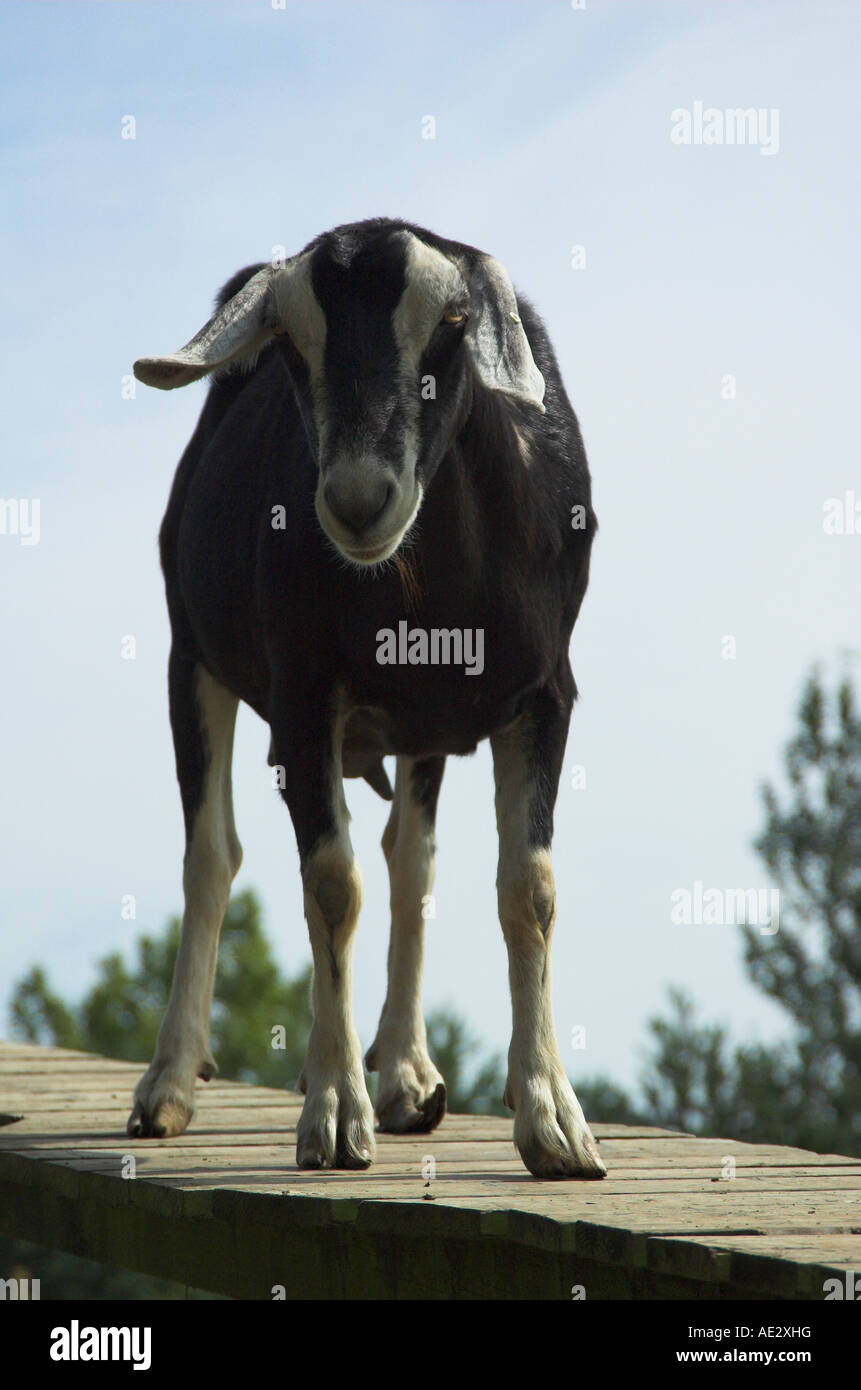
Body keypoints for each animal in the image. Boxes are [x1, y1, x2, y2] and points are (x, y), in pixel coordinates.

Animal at [129, 217, 605, 1179]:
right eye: (290, 343)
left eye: (453, 324)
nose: (356, 501)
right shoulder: (305, 700)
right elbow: (330, 885)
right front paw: (335, 1113)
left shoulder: (545, 694)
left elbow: (525, 887)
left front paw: (553, 1120)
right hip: (190, 653)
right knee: (211, 856)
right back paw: (170, 1083)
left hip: (420, 726)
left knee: (409, 860)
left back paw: (411, 1076)